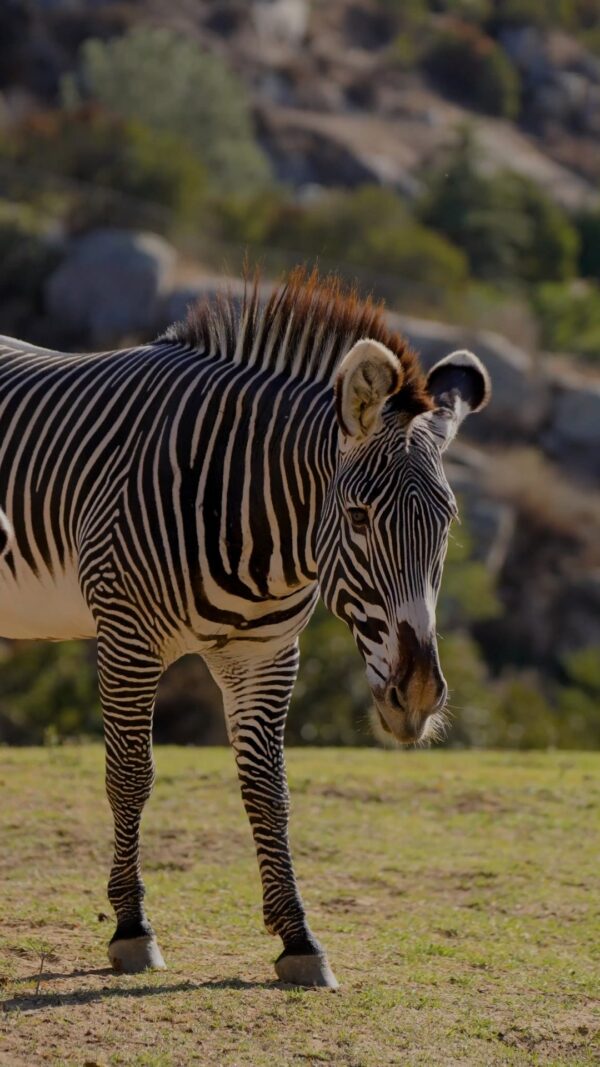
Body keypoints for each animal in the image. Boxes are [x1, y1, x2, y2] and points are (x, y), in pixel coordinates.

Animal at [0, 270, 490, 988]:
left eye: (448, 522)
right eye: (359, 516)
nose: (420, 695)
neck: (241, 506)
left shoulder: (266, 652)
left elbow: (269, 788)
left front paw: (298, 938)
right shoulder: (126, 635)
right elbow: (131, 775)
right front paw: (132, 927)